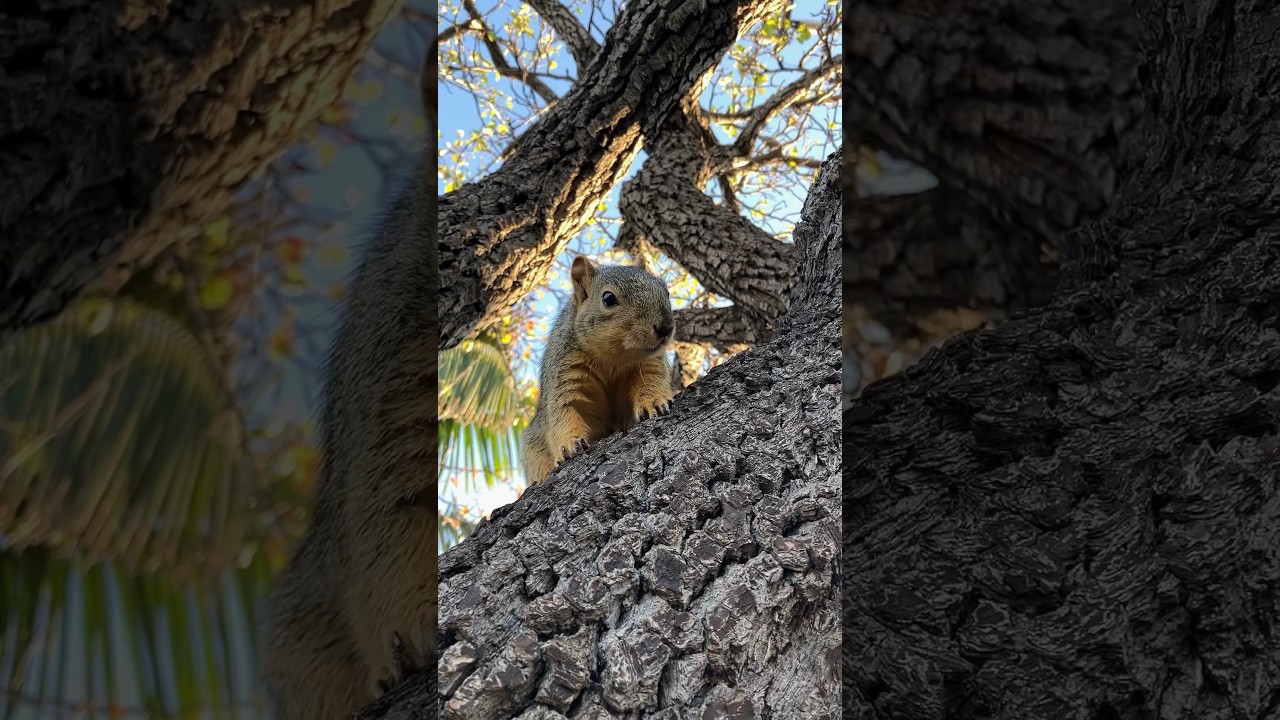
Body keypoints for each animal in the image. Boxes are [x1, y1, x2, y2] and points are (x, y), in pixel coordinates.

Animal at [521, 255, 677, 484]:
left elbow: (652, 381)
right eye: (608, 299)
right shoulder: (564, 373)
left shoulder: (650, 364)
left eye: (665, 290)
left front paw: (655, 402)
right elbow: (564, 410)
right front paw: (571, 444)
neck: (613, 358)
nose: (666, 327)